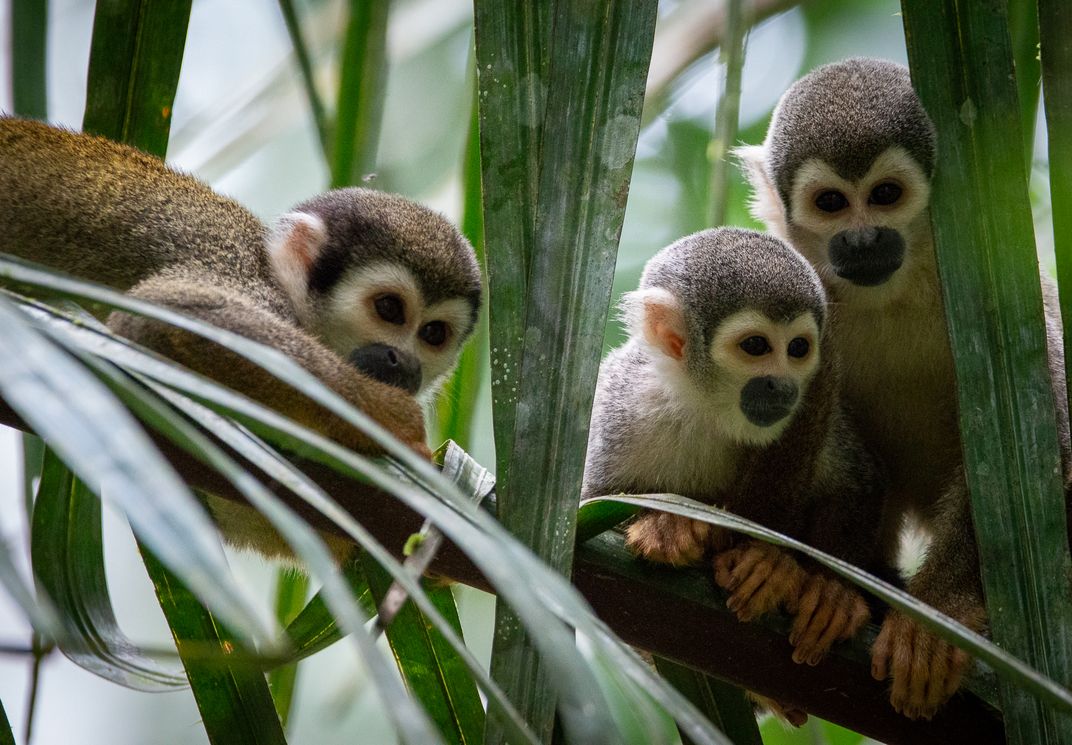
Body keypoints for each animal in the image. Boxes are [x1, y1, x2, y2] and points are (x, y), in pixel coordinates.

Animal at [0, 117, 482, 557]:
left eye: (433, 333)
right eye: (389, 309)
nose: (407, 363)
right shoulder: (234, 267)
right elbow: (165, 315)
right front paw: (390, 419)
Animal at [582, 228, 890, 699]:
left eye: (798, 349)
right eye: (756, 346)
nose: (782, 386)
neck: (705, 406)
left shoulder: (811, 409)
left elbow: (856, 485)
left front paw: (823, 586)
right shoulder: (621, 409)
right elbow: (584, 520)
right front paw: (668, 527)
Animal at [736, 57, 1071, 719]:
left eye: (885, 196)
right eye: (832, 203)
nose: (863, 240)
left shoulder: (997, 285)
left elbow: (1038, 446)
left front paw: (941, 617)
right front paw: (794, 574)